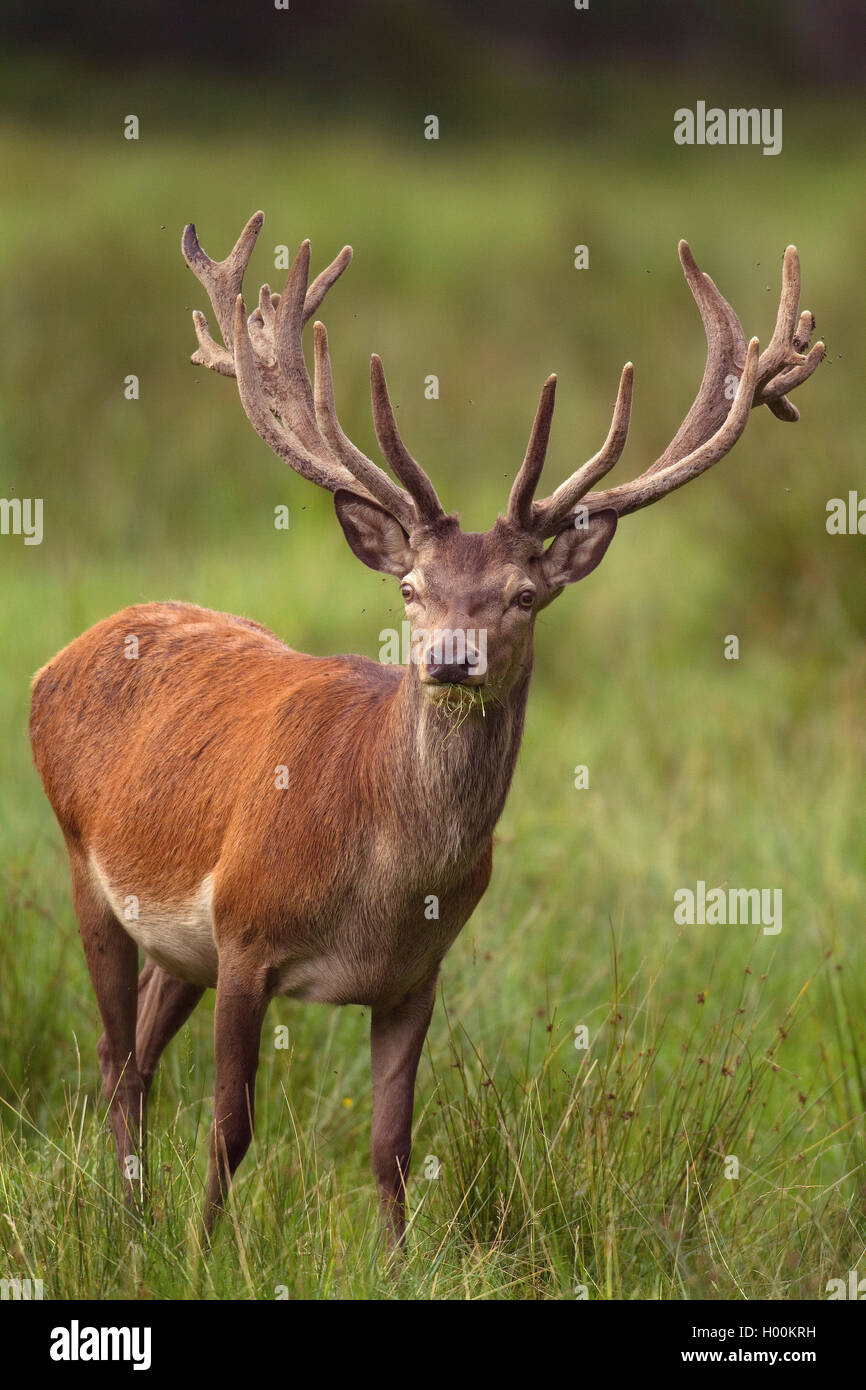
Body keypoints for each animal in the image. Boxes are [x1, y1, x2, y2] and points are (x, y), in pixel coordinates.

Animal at [28, 211, 828, 1245]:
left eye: (524, 594)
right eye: (410, 587)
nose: (450, 659)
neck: (382, 885)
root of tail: (58, 660)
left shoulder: (416, 975)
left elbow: (393, 1147)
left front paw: (396, 1259)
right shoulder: (245, 932)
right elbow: (231, 1126)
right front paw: (205, 1250)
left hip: (179, 942)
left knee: (138, 1051)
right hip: (87, 863)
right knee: (115, 1057)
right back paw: (130, 1220)